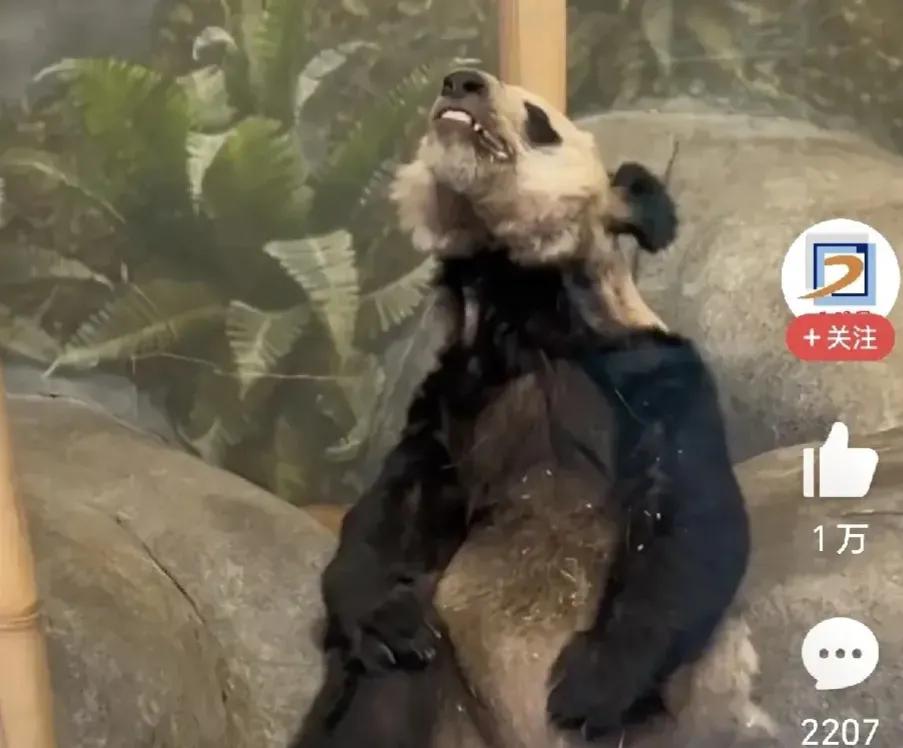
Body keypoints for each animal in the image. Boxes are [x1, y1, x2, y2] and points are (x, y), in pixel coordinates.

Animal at [291, 69, 751, 748]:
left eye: (539, 119)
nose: (462, 80)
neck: (520, 306)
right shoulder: (452, 395)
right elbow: (394, 507)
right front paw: (382, 619)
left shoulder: (653, 371)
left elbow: (692, 519)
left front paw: (591, 683)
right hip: (447, 692)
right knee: (384, 692)